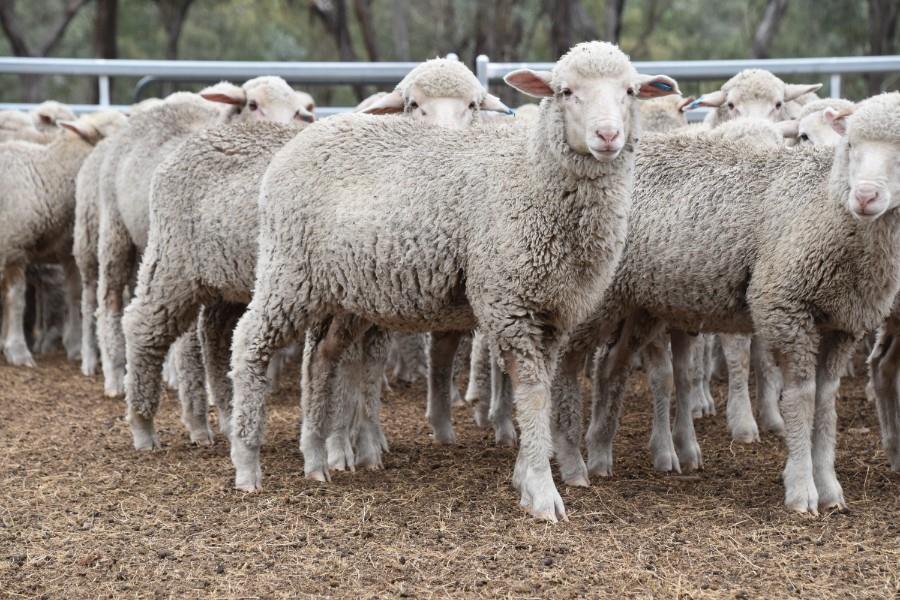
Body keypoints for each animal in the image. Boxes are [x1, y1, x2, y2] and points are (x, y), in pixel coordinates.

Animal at [0, 111, 127, 367]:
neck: (47, 178)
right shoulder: (14, 247)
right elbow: (16, 299)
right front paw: (17, 351)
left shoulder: (67, 250)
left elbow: (74, 296)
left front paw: (76, 347)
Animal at [225, 41, 679, 521]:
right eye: (566, 91)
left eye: (630, 91)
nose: (607, 136)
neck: (531, 178)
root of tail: (301, 139)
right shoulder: (510, 300)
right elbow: (533, 392)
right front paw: (541, 490)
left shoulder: (554, 309)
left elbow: (541, 389)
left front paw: (525, 475)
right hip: (287, 271)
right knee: (250, 342)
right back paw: (246, 462)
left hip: (344, 294)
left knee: (321, 359)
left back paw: (314, 457)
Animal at [553, 92, 900, 514]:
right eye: (851, 146)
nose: (865, 196)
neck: (827, 207)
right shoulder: (785, 306)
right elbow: (800, 401)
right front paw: (802, 490)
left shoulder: (842, 323)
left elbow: (825, 405)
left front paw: (830, 489)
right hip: (593, 297)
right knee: (566, 365)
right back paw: (570, 460)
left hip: (638, 304)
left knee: (610, 367)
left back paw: (601, 453)